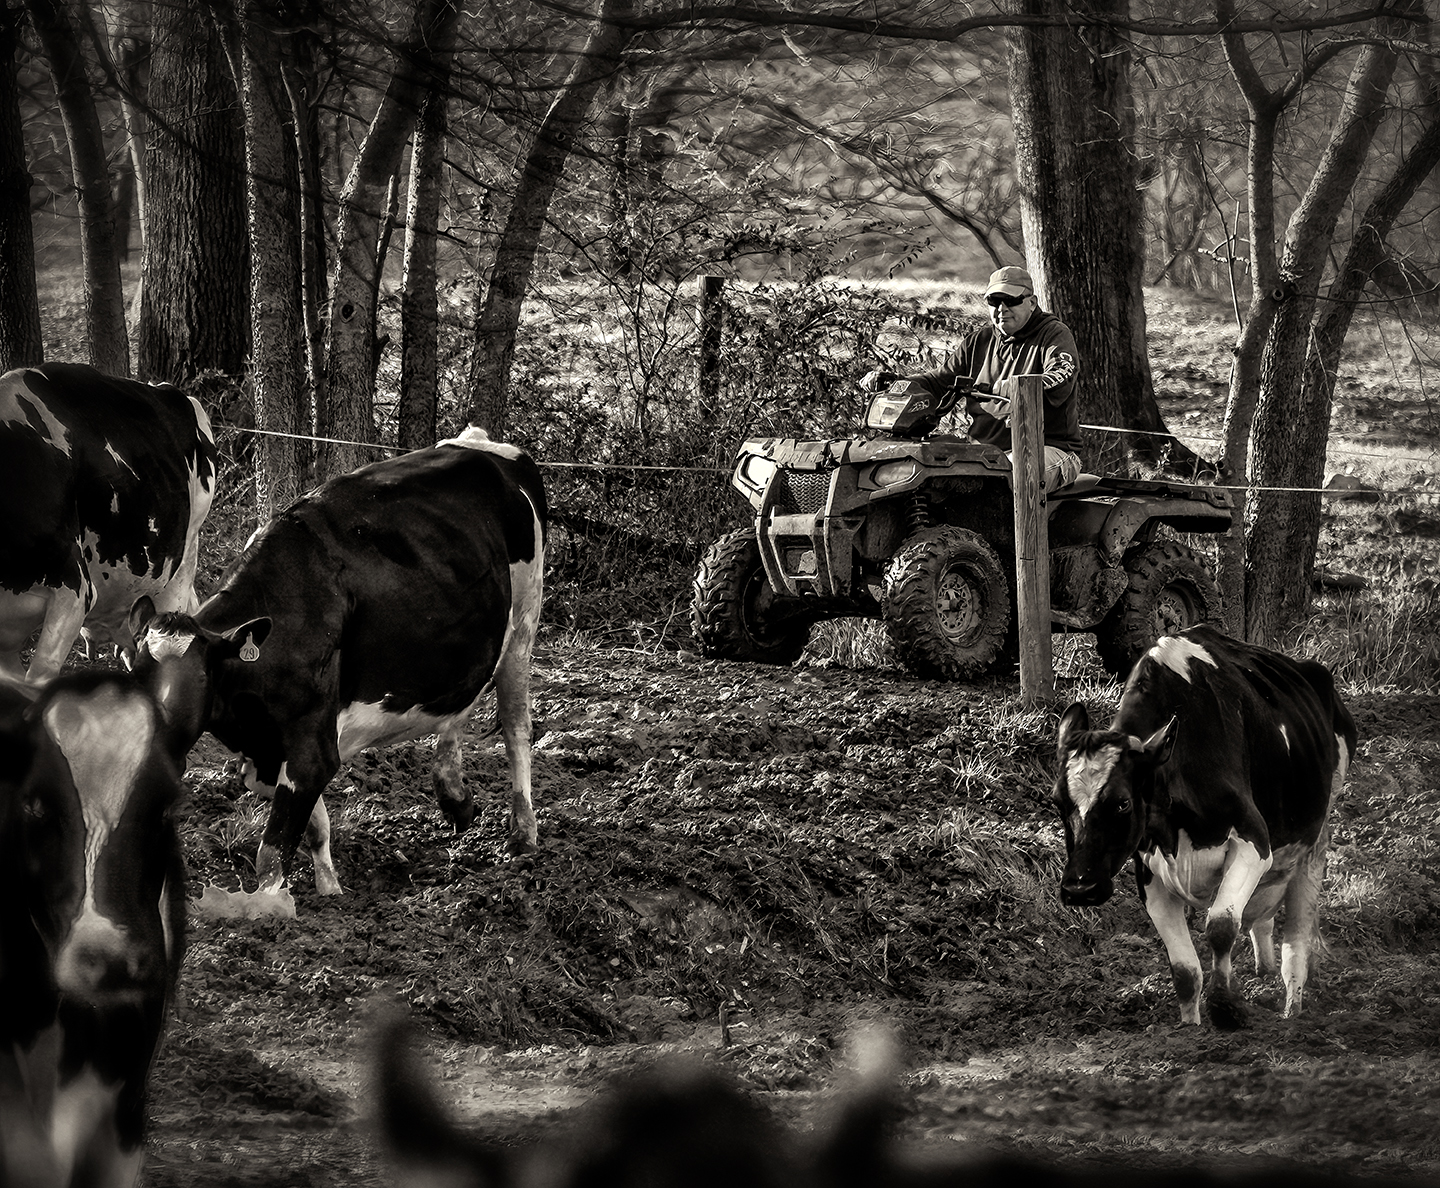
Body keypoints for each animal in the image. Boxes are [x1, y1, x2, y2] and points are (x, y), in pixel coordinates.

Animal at [130, 426, 547, 898]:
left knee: (515, 725)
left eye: (200, 679)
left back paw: (524, 831)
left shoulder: (313, 750)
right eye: (135, 673)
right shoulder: (270, 755)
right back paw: (454, 796)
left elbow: (271, 855)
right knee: (457, 706)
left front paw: (277, 906)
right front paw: (330, 889)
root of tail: (479, 443)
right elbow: (314, 826)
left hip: (524, 621)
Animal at [1053, 624, 1357, 1029]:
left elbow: (1221, 926)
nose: (1079, 888)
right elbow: (1183, 970)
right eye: (1058, 801)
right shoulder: (1149, 873)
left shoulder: (1254, 842)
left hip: (1316, 836)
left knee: (1297, 931)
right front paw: (1190, 1027)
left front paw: (1225, 1007)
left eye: (1122, 802)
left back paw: (1292, 1009)